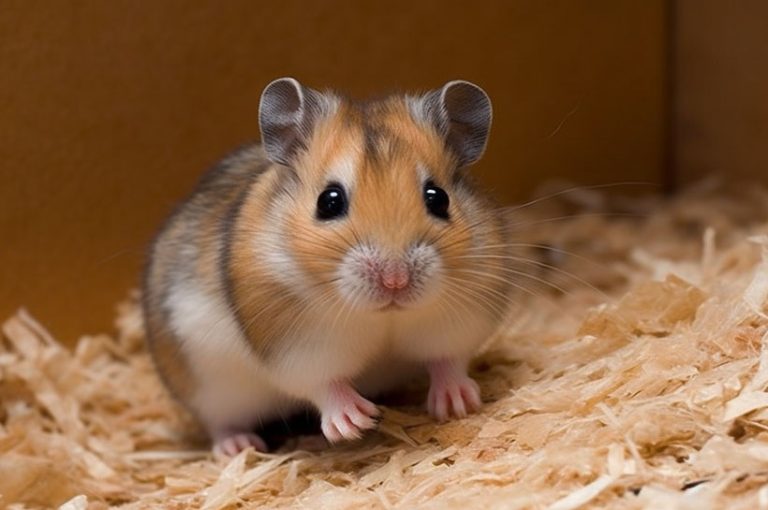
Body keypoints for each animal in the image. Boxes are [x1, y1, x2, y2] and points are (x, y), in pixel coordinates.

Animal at [142, 77, 511, 456]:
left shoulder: (460, 322)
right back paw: (240, 447)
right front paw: (356, 422)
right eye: (328, 201)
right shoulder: (299, 349)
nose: (395, 281)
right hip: (210, 391)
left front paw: (460, 404)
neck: (386, 318)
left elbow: (447, 360)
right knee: (220, 423)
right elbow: (324, 383)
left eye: (438, 197)